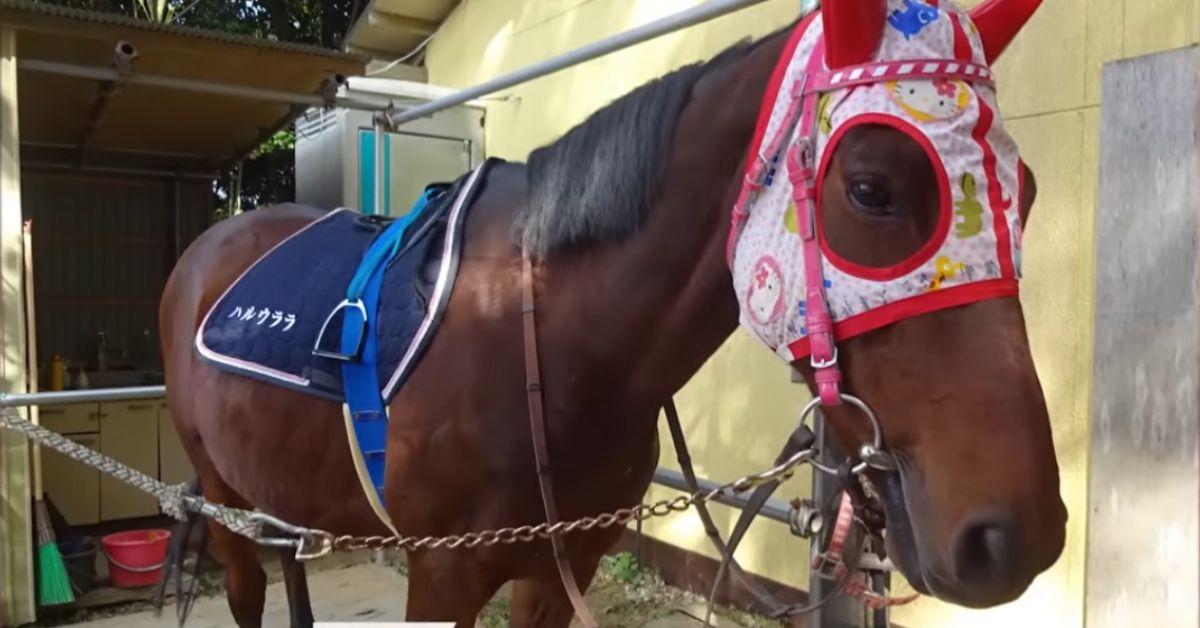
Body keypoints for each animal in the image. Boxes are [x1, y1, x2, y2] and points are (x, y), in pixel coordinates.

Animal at [158, 0, 1066, 625]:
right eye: (872, 189)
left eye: (1024, 195)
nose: (1013, 536)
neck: (551, 348)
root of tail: (209, 244)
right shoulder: (443, 575)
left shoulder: (563, 572)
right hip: (222, 493)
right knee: (246, 590)